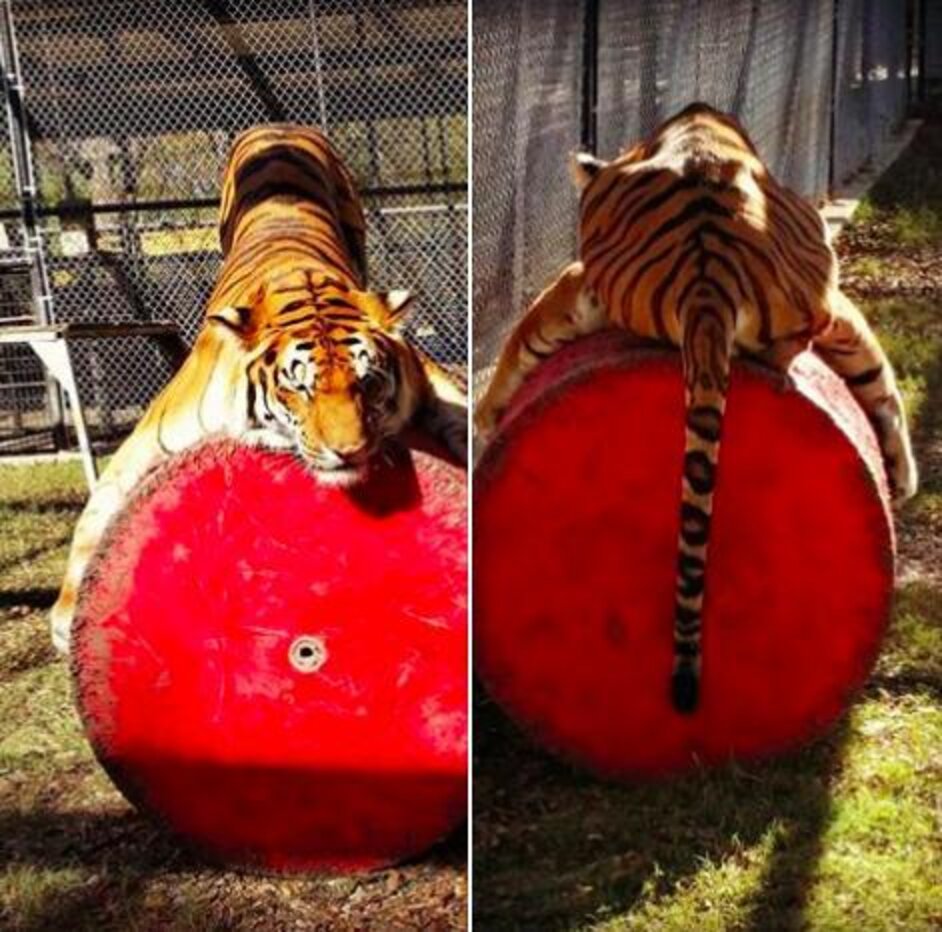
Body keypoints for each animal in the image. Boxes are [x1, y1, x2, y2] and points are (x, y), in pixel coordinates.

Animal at [50, 124, 467, 654]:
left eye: (368, 383)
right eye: (299, 388)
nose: (350, 452)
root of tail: (279, 129)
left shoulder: (424, 373)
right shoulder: (151, 436)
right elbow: (97, 507)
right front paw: (65, 617)